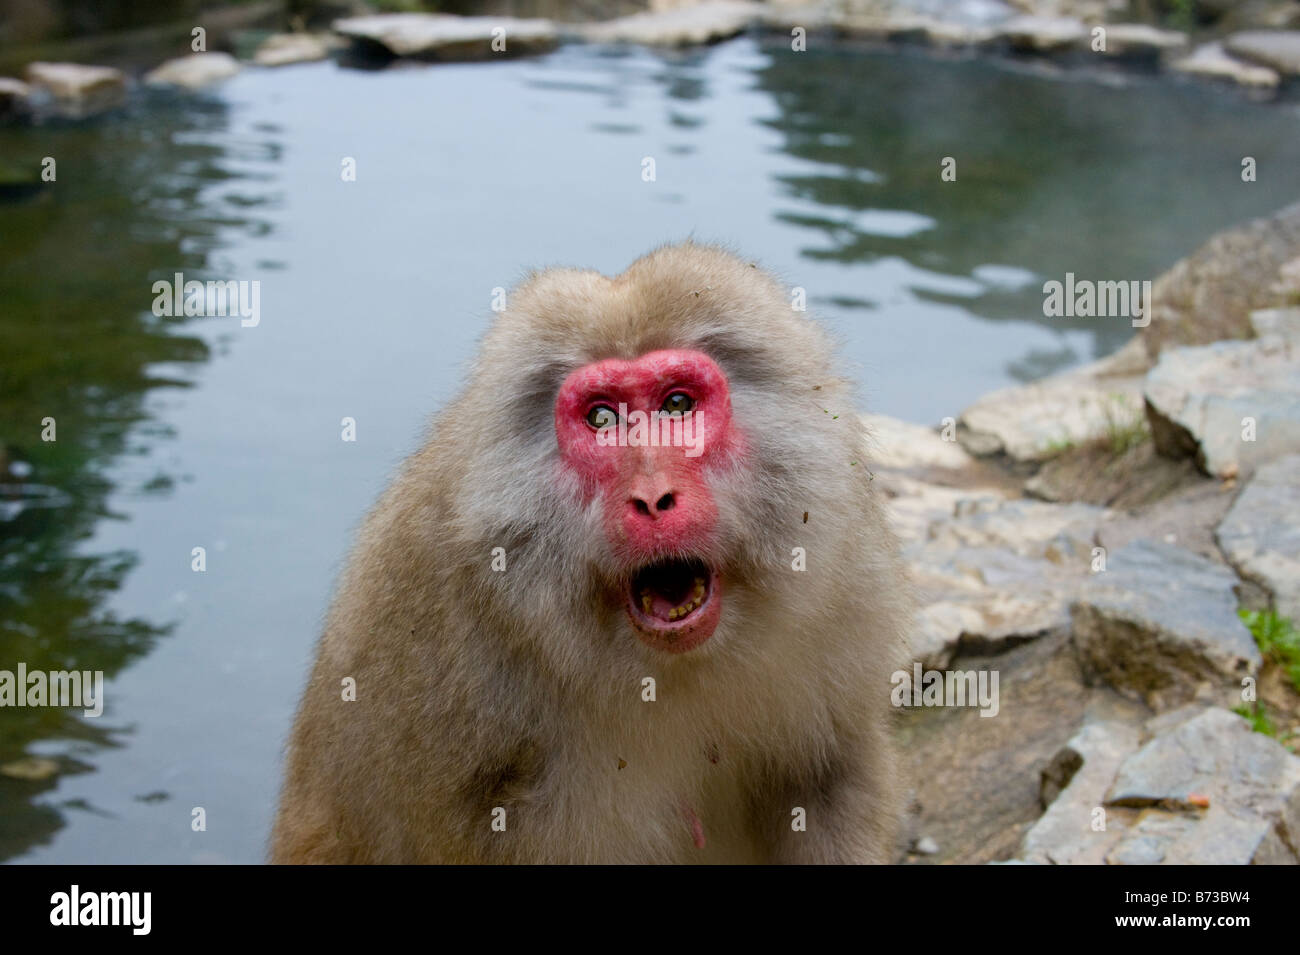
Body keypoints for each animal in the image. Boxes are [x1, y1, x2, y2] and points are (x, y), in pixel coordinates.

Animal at [271, 242, 912, 864]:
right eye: (602, 418)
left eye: (677, 405)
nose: (652, 498)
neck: (671, 669)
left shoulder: (848, 585)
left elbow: (829, 782)